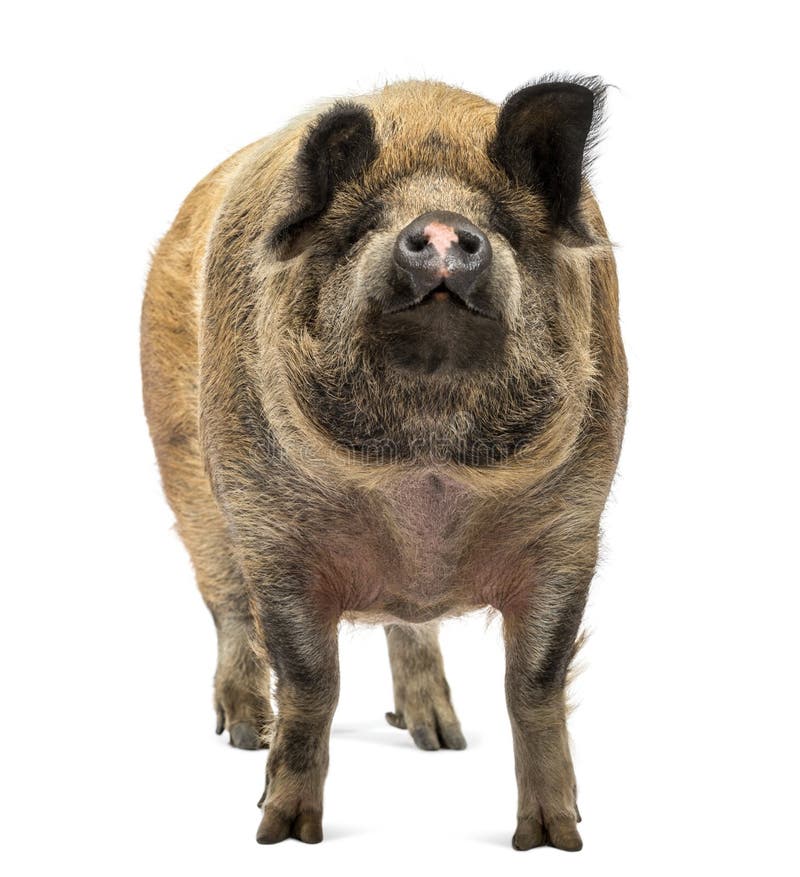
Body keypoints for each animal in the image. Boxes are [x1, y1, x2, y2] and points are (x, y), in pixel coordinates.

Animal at [140, 75, 627, 851]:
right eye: (362, 224)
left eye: (501, 221)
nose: (441, 227)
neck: (424, 475)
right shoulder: (272, 532)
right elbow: (311, 678)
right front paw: (282, 833)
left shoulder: (573, 526)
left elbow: (534, 682)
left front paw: (556, 840)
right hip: (186, 474)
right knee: (227, 604)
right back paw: (244, 732)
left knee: (413, 625)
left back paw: (441, 738)